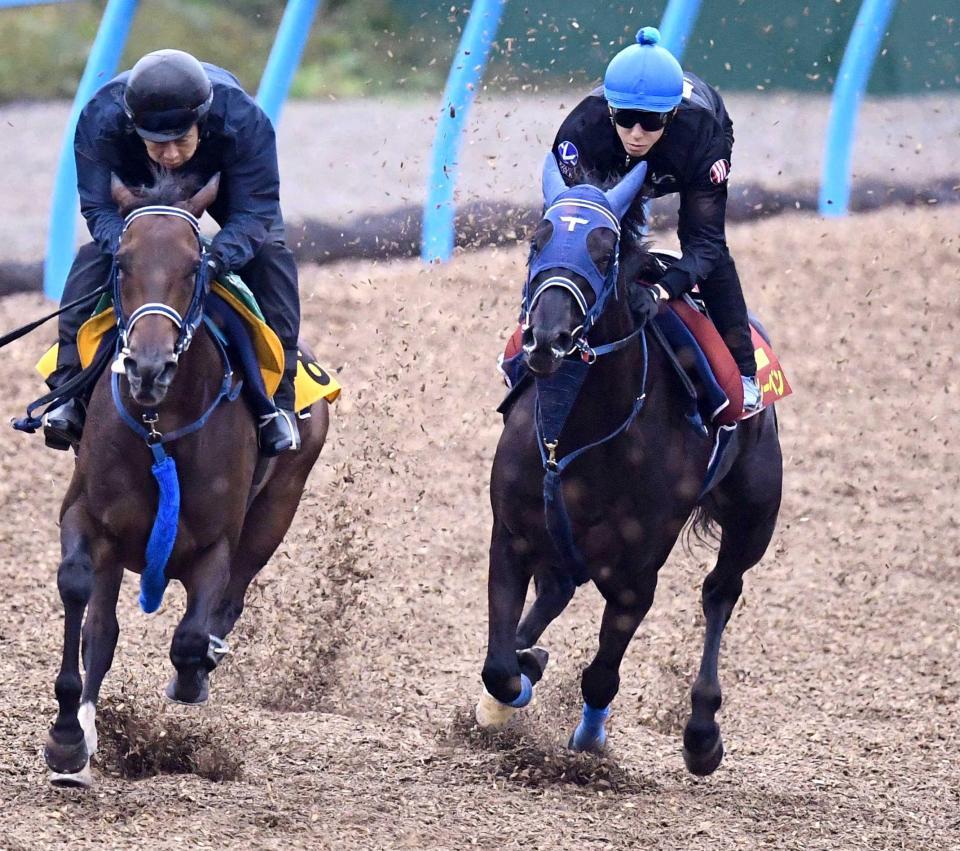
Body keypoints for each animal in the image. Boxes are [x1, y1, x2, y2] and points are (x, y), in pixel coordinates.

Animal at [46, 171, 330, 784]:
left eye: (194, 264)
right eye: (121, 262)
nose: (149, 368)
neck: (163, 428)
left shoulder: (215, 542)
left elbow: (192, 633)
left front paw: (191, 675)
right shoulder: (87, 517)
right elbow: (80, 594)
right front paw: (67, 740)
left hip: (279, 505)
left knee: (231, 599)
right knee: (102, 629)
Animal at [476, 153, 784, 780]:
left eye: (603, 250)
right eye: (537, 239)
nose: (547, 339)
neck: (578, 430)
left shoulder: (638, 574)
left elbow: (601, 674)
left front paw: (589, 740)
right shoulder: (512, 535)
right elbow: (499, 666)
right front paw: (511, 684)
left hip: (755, 515)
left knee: (720, 590)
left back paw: (701, 733)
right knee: (557, 589)